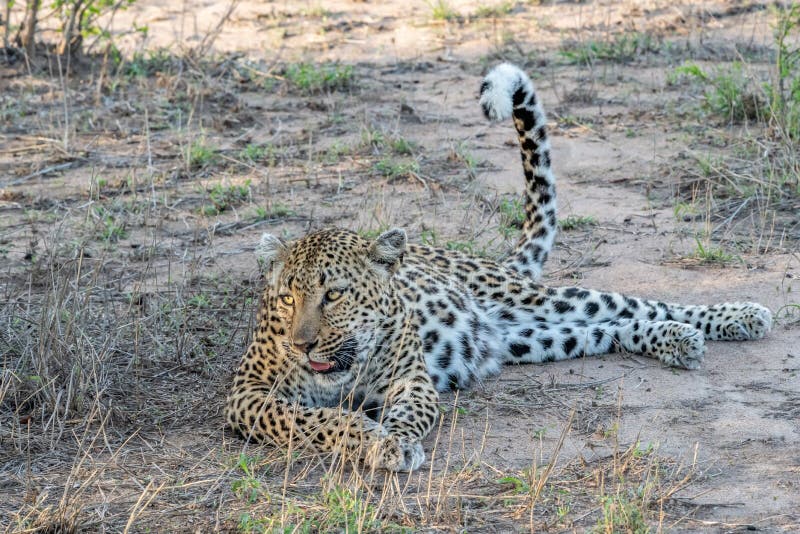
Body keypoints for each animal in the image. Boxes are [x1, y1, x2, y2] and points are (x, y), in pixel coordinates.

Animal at [225, 63, 772, 472]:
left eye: (333, 294)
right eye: (288, 297)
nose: (302, 344)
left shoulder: (411, 380)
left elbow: (405, 413)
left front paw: (393, 441)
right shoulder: (247, 395)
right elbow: (314, 420)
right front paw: (374, 439)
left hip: (532, 298)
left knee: (635, 303)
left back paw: (738, 317)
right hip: (528, 337)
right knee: (606, 328)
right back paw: (678, 341)